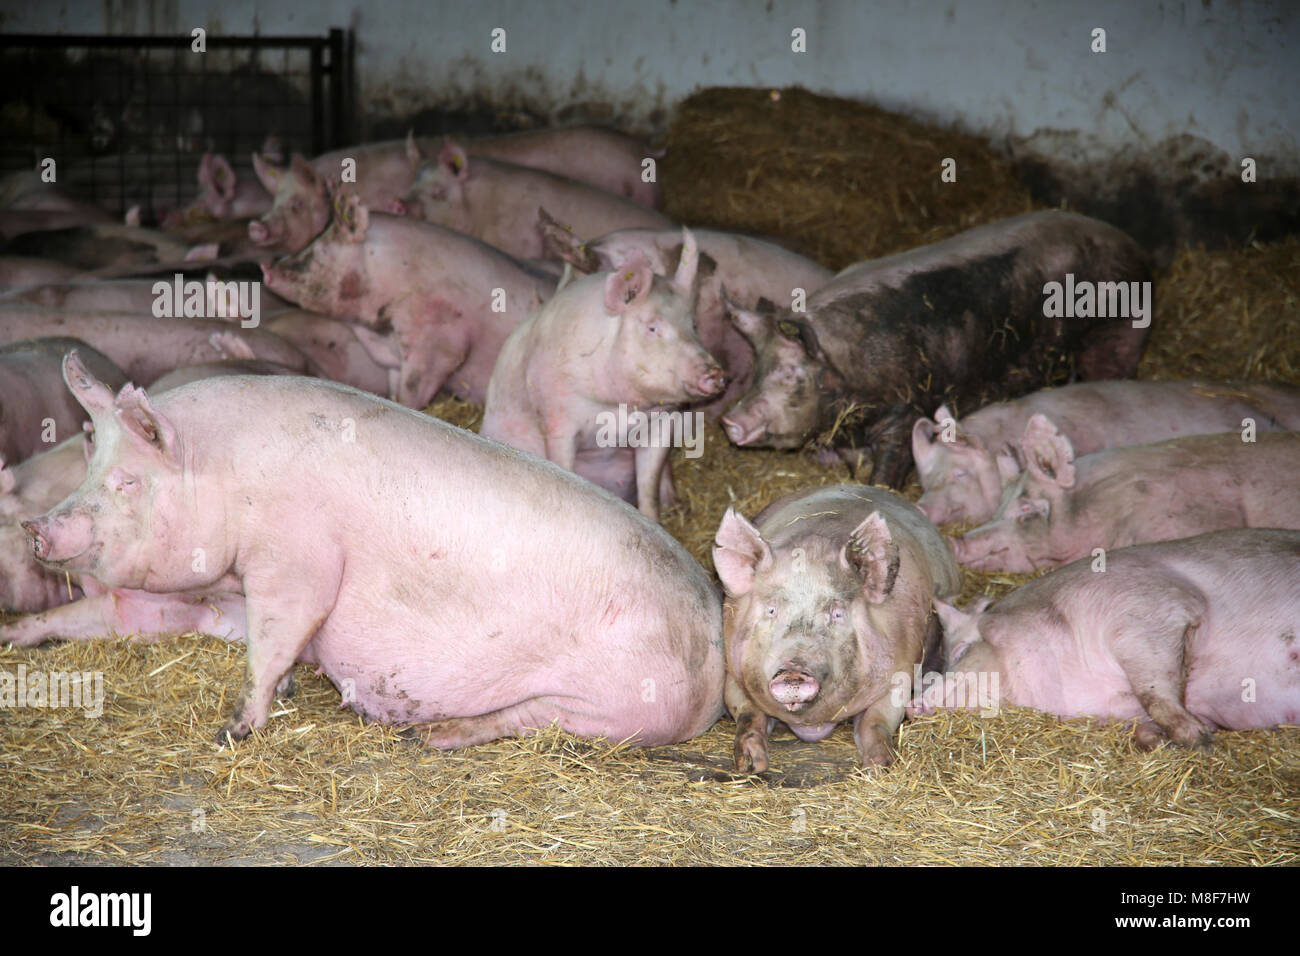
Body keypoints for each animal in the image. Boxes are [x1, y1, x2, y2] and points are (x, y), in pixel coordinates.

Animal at [7, 354, 725, 750]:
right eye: (92, 466)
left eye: (129, 481)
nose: (39, 529)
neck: (230, 475)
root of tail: (717, 640)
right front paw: (15, 635)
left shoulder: (294, 560)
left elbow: (275, 640)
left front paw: (232, 731)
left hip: (613, 701)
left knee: (533, 719)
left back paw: (429, 736)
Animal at [480, 232, 727, 520]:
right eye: (652, 327)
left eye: (694, 325)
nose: (716, 373)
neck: (619, 408)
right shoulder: (558, 418)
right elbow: (563, 464)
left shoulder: (662, 425)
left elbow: (649, 487)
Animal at [713, 483, 961, 771]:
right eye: (771, 610)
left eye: (838, 613)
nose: (793, 672)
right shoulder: (733, 673)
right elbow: (749, 714)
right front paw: (752, 764)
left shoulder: (899, 674)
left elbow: (874, 722)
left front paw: (878, 767)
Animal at [720, 211, 1153, 488]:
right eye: (758, 368)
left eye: (790, 373)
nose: (730, 420)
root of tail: (1131, 245)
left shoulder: (907, 409)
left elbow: (890, 466)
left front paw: (880, 489)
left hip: (1118, 330)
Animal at [911, 529, 1300, 748]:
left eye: (962, 650)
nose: (913, 704)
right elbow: (1147, 720)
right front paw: (1165, 741)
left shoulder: (1149, 610)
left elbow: (1155, 692)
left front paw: (1198, 739)